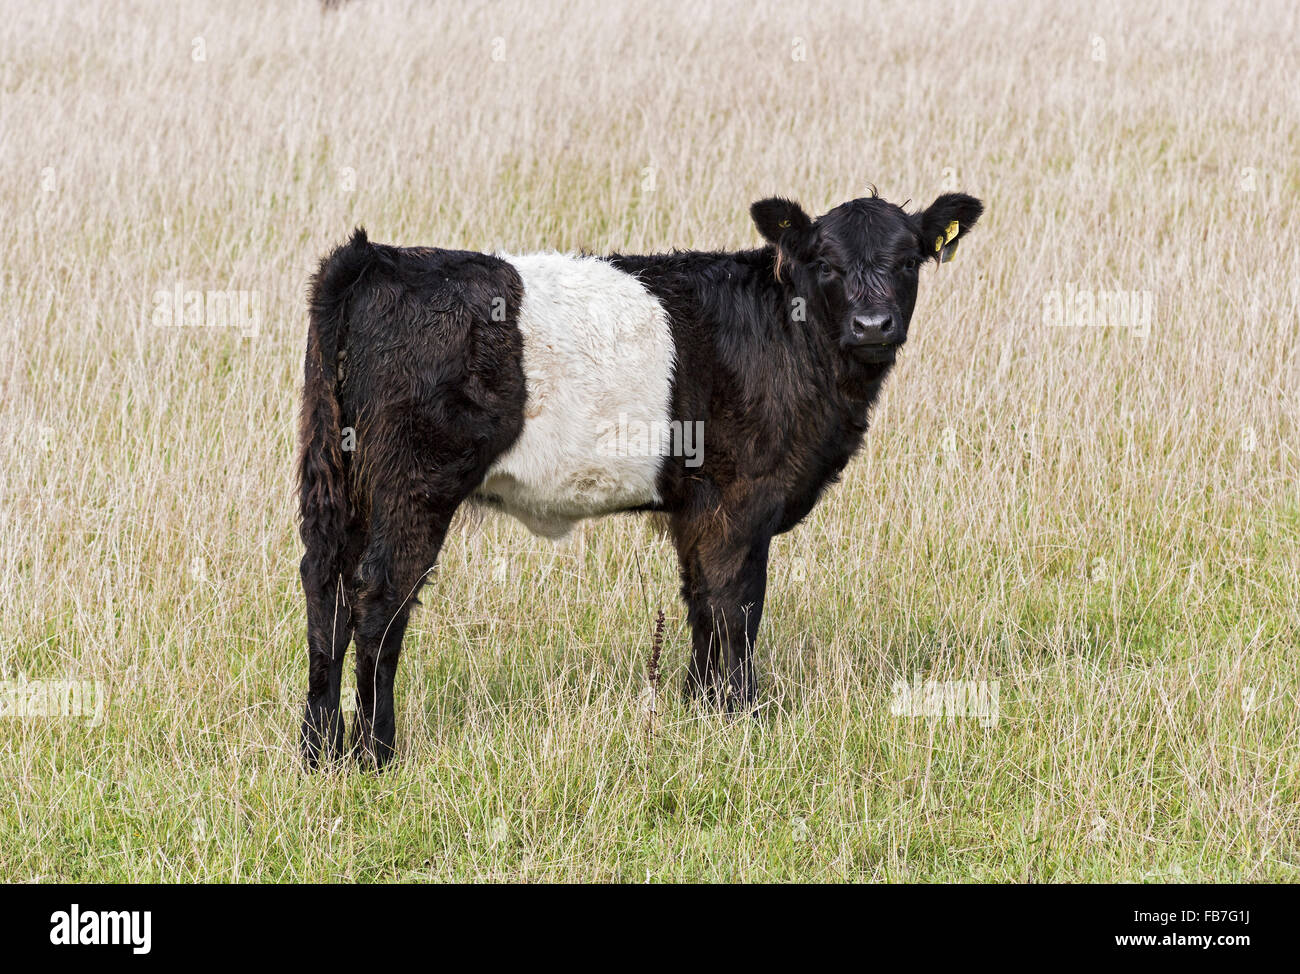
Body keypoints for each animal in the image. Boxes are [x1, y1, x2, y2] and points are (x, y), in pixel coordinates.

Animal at [298, 188, 983, 767]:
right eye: (826, 264)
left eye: (909, 261)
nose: (873, 326)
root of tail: (373, 257)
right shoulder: (742, 501)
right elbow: (738, 607)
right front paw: (745, 716)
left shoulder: (698, 507)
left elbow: (701, 601)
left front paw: (700, 708)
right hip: (412, 487)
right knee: (380, 599)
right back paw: (376, 753)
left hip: (340, 482)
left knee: (325, 591)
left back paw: (320, 750)